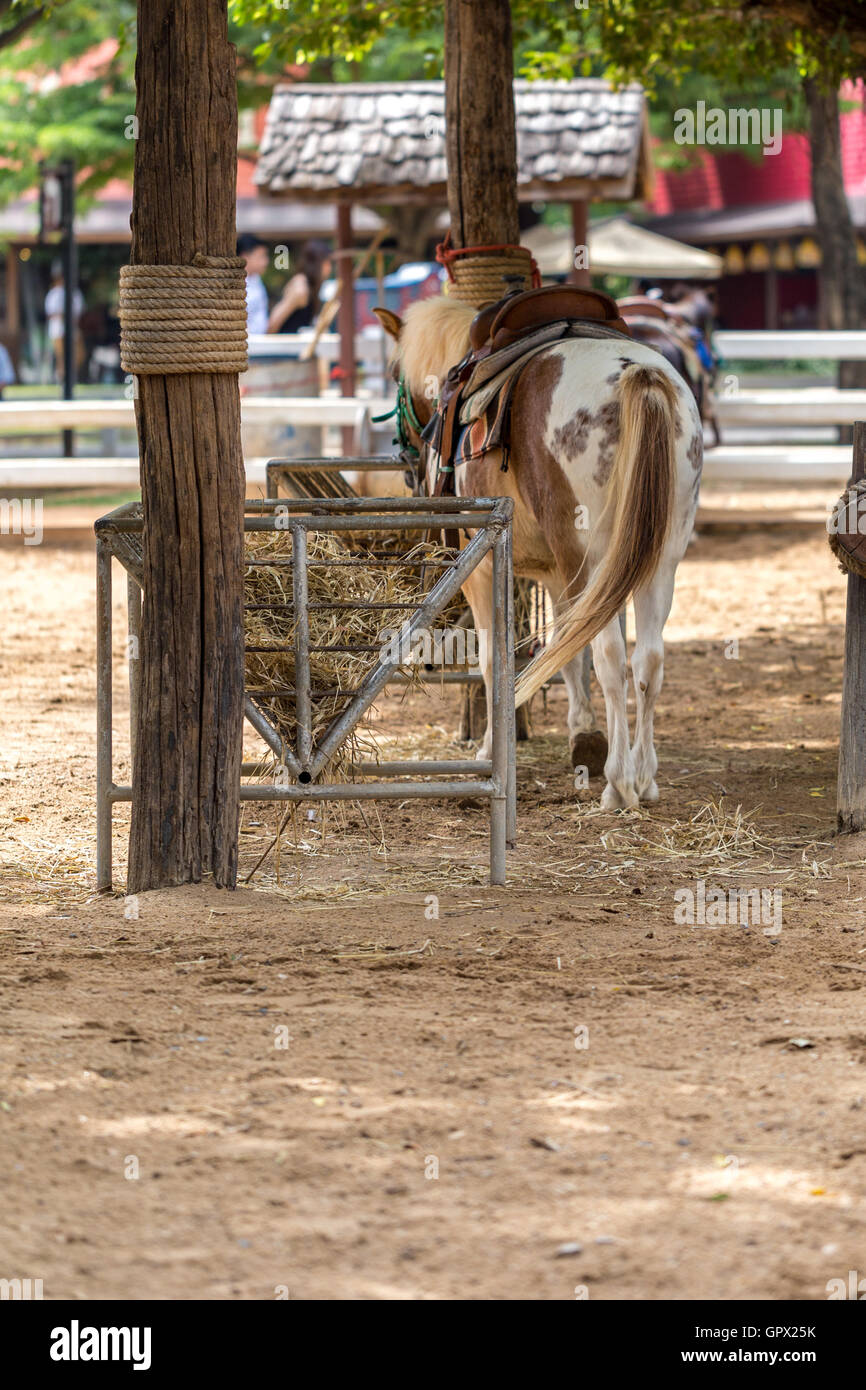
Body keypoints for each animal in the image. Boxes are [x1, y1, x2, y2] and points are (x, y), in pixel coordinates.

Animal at [373, 294, 703, 811]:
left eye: (392, 374)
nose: (408, 460)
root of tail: (638, 374)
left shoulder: (483, 569)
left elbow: (494, 658)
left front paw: (491, 747)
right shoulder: (555, 573)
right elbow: (566, 655)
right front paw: (584, 734)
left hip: (590, 560)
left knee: (611, 658)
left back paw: (618, 783)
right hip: (660, 560)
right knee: (647, 660)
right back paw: (645, 778)